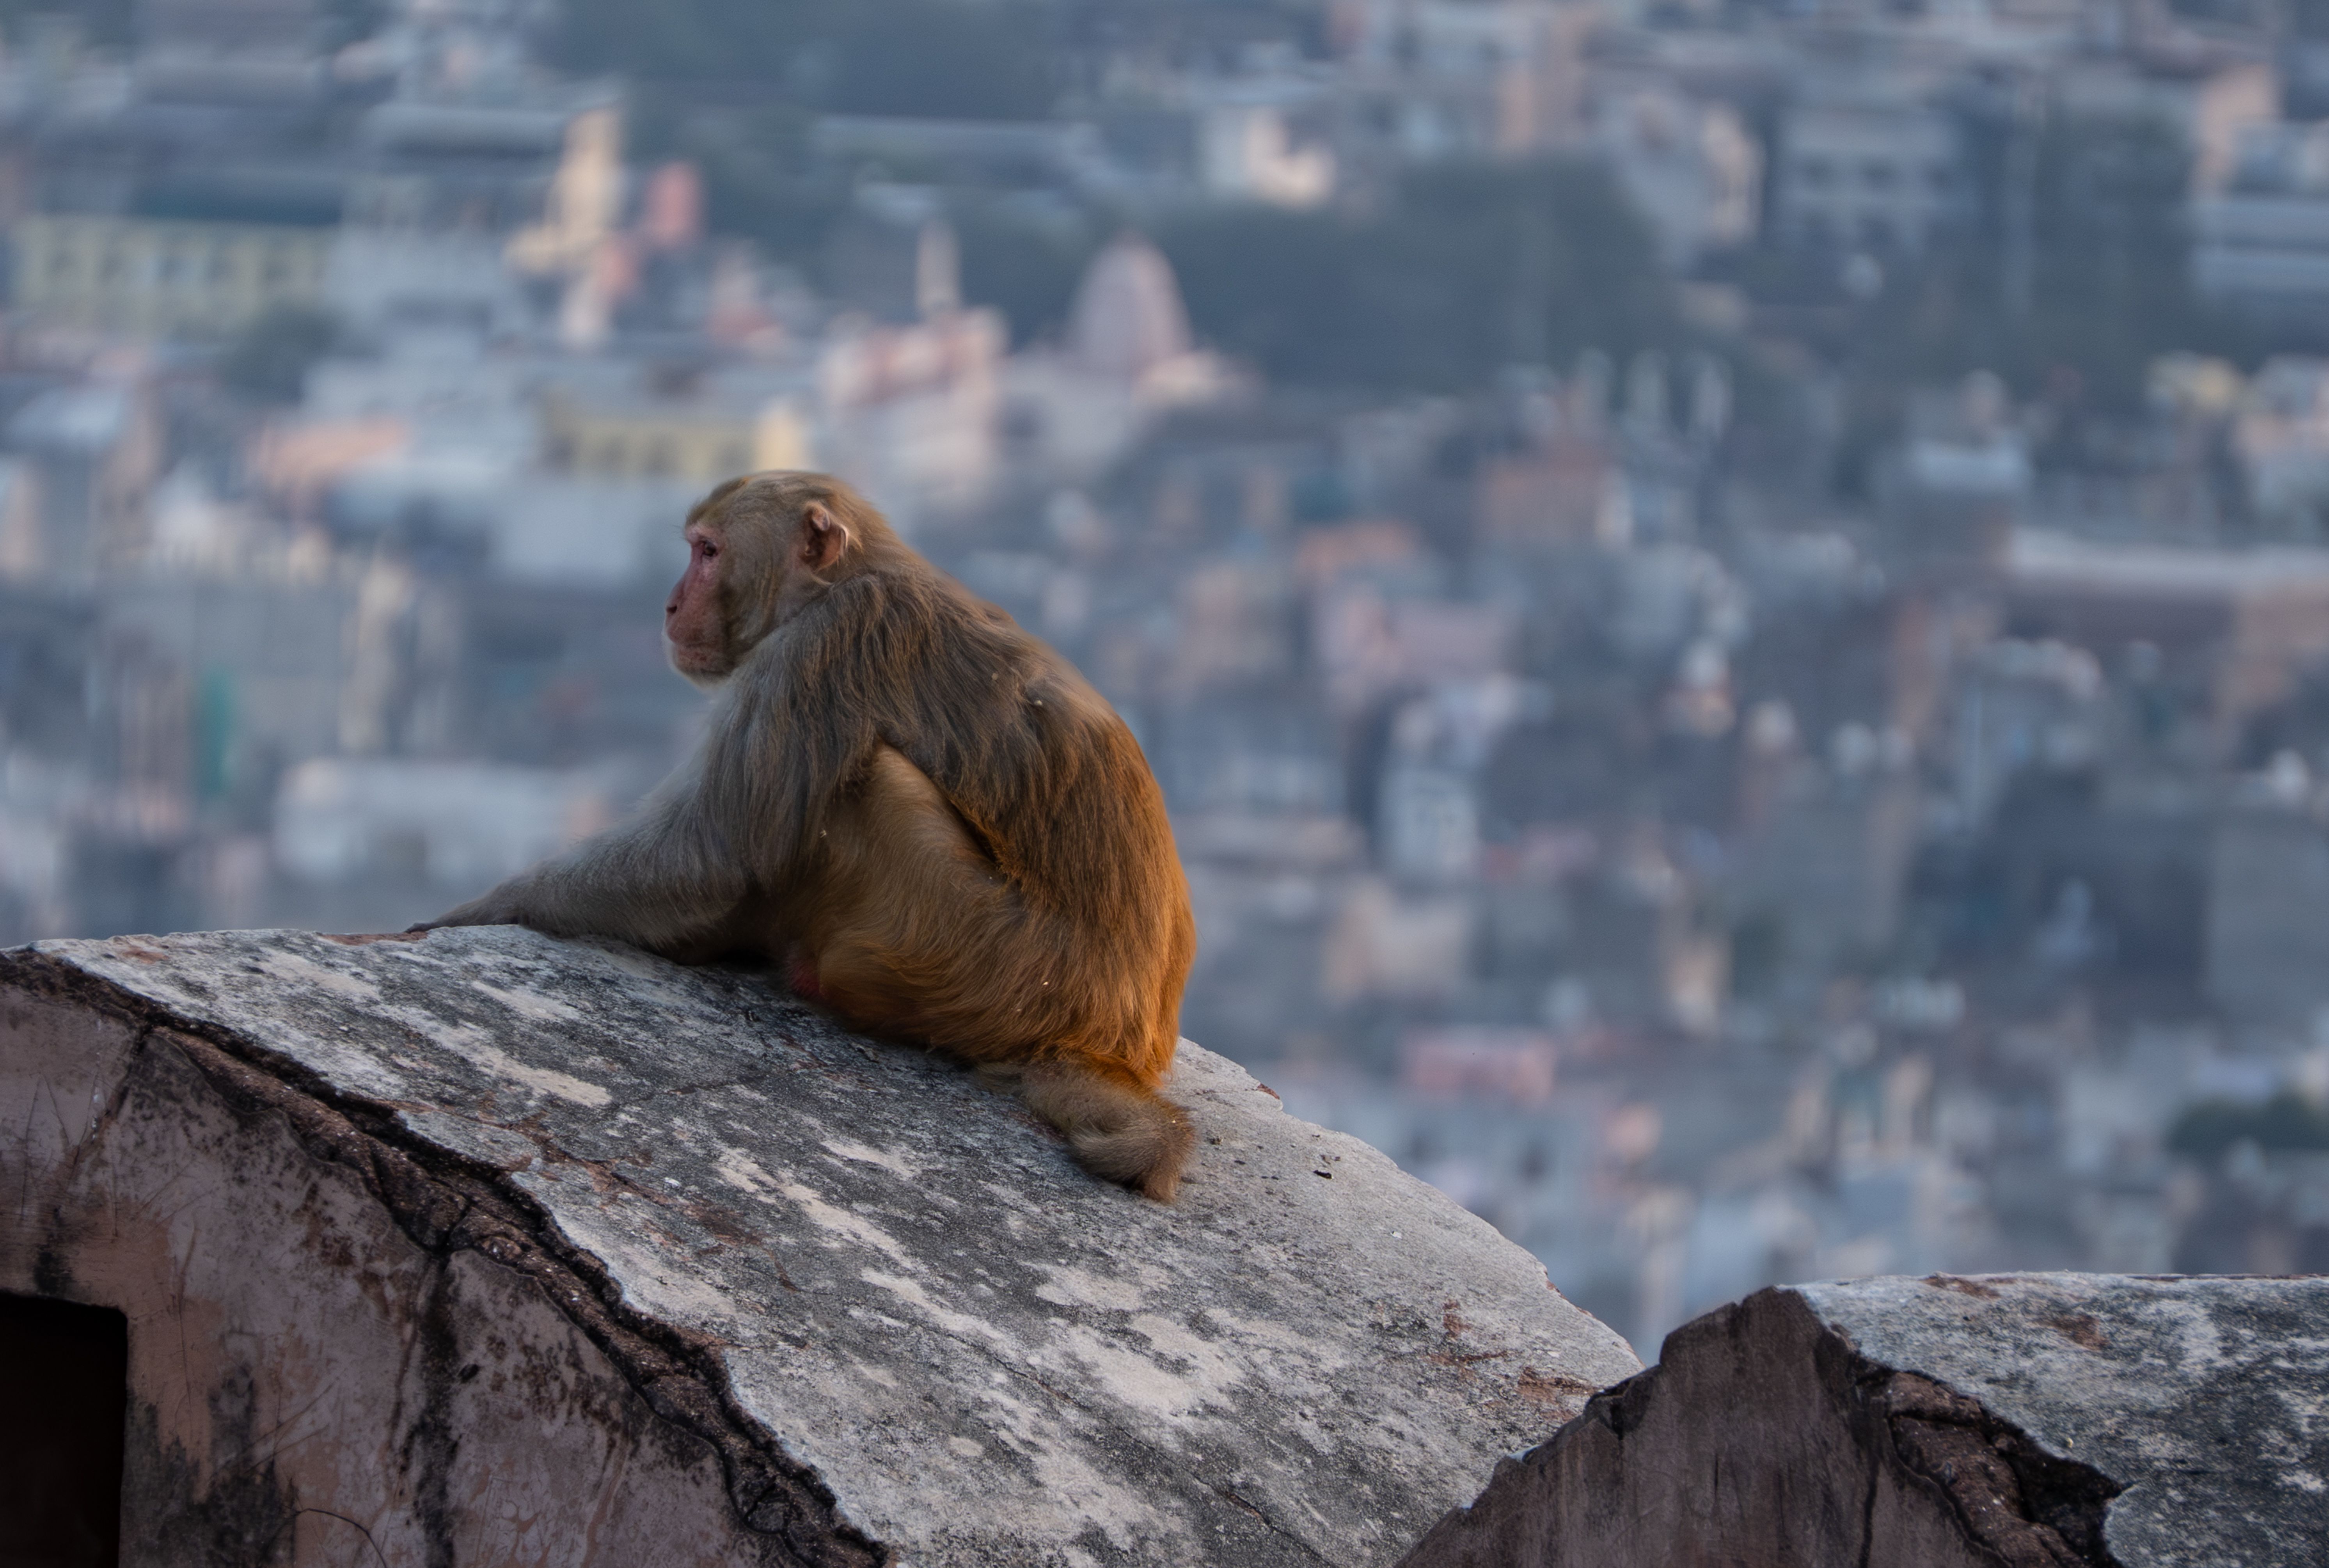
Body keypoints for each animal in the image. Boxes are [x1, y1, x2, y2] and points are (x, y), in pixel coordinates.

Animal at [422, 472, 1200, 1200]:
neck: (847, 576)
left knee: (872, 779)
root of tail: (1112, 1048)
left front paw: (483, 908)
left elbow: (710, 856)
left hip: (975, 959)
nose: (669, 605)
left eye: (707, 552)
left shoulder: (821, 647)